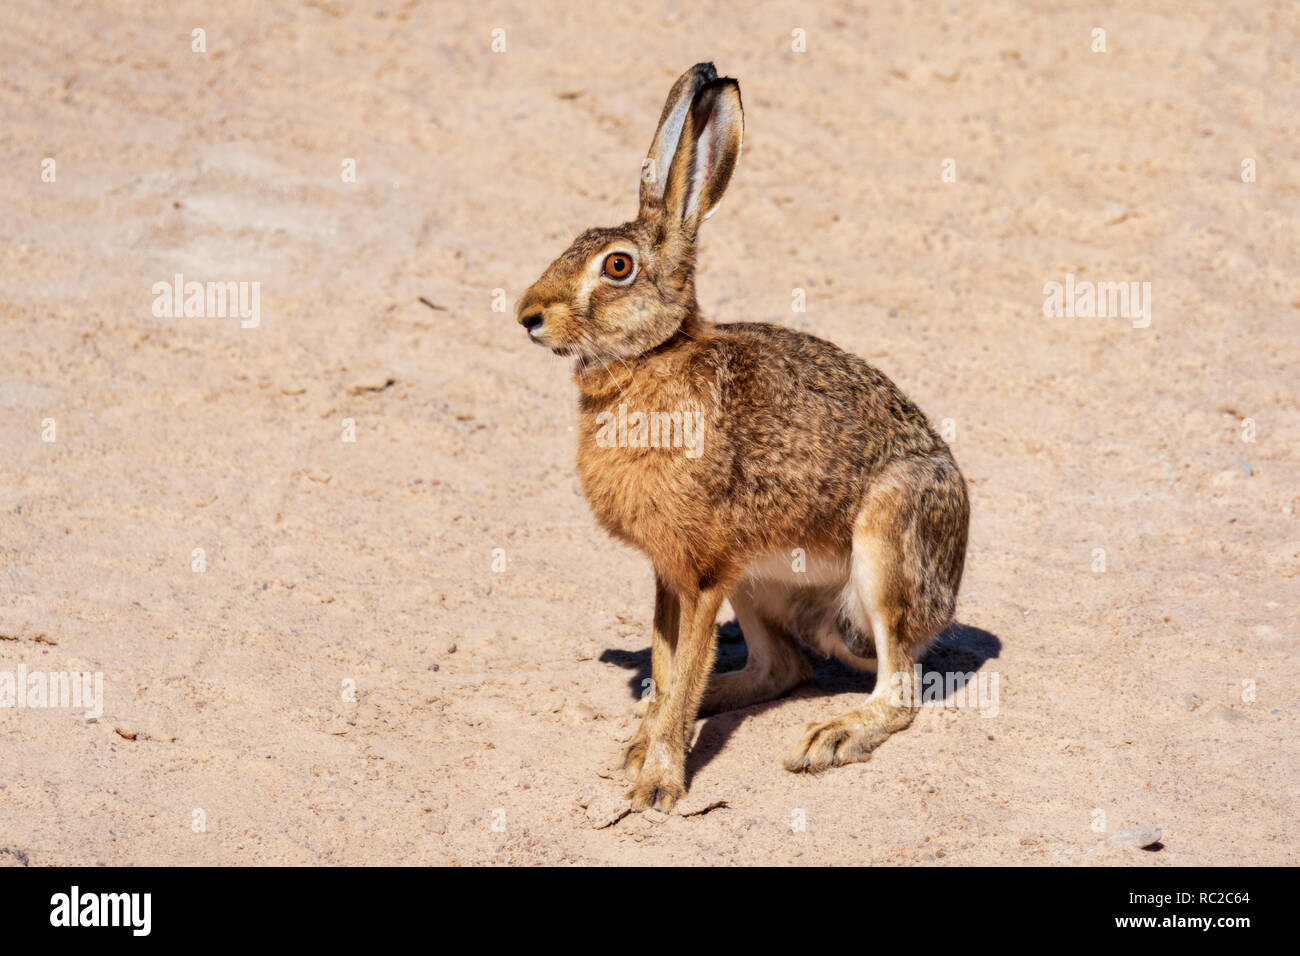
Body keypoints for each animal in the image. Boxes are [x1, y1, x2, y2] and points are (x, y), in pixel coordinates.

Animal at [516, 63, 970, 813]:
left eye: (617, 267)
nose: (527, 315)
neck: (654, 359)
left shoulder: (701, 573)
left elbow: (681, 671)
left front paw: (657, 786)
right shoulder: (673, 571)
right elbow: (669, 664)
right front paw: (647, 746)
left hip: (887, 541)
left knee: (899, 688)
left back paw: (830, 737)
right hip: (758, 580)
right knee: (783, 669)